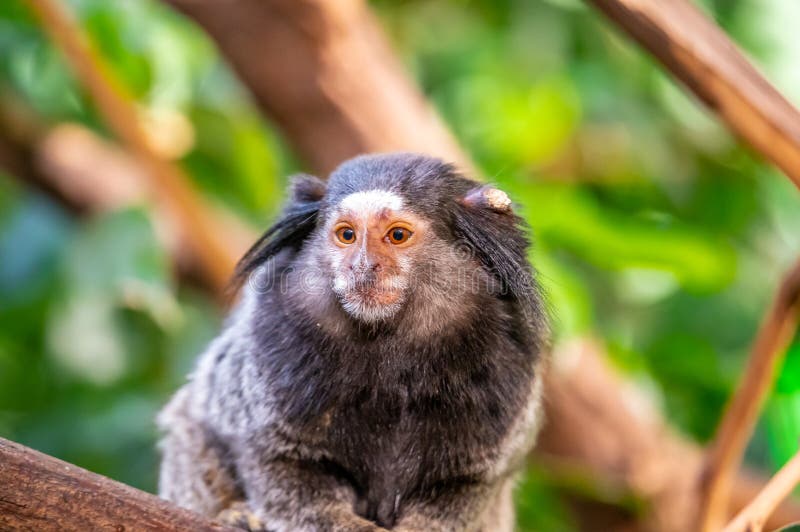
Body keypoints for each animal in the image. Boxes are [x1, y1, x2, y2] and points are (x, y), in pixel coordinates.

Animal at [157, 153, 549, 531]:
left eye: (397, 235)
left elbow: (467, 485)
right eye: (346, 235)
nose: (362, 266)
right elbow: (276, 462)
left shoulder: (506, 377)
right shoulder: (266, 353)